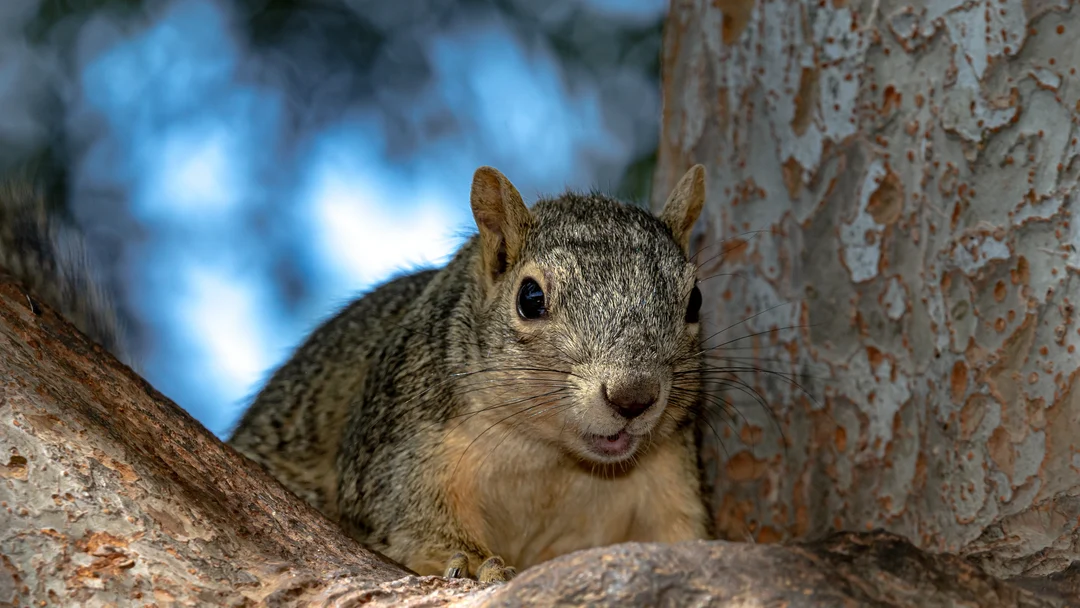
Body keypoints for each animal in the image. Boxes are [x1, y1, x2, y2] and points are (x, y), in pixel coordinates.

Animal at [228, 164, 713, 582]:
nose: (634, 396)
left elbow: (685, 533)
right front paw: (476, 564)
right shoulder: (398, 450)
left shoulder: (670, 476)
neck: (551, 456)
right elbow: (408, 522)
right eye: (530, 298)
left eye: (695, 301)